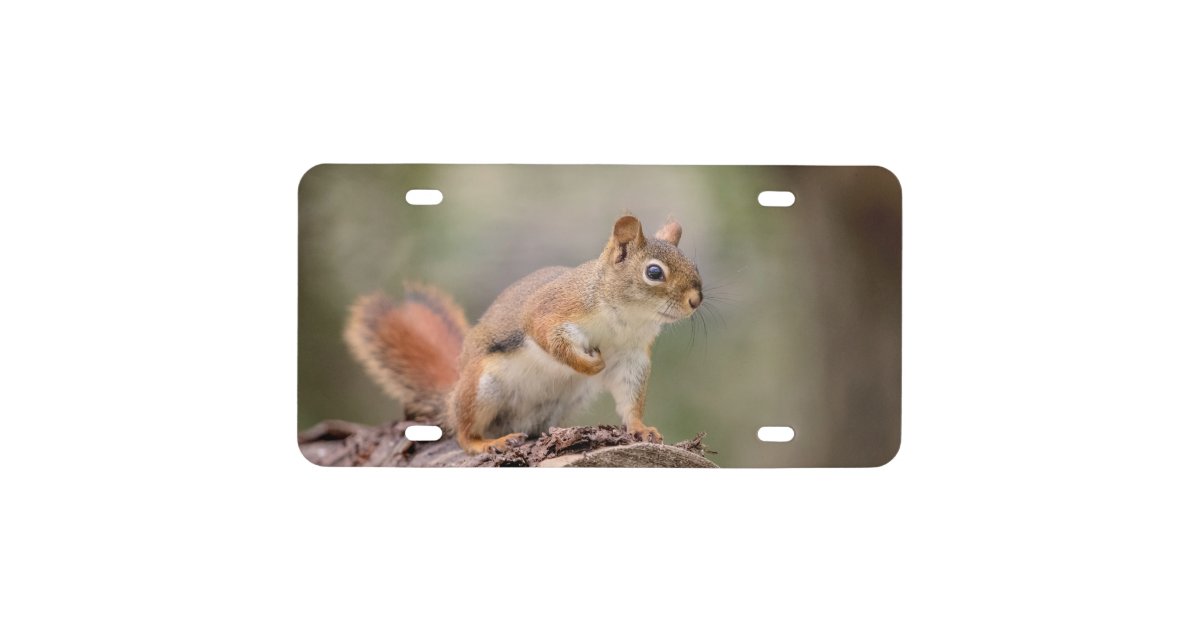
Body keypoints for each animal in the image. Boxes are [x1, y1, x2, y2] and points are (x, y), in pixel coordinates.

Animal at [344, 215, 703, 454]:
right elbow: (548, 338)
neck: (627, 318)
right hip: (481, 387)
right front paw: (589, 365)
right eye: (653, 272)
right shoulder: (552, 310)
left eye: (694, 266)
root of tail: (452, 396)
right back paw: (488, 442)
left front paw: (641, 429)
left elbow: (630, 397)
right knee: (464, 433)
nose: (695, 300)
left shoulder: (631, 356)